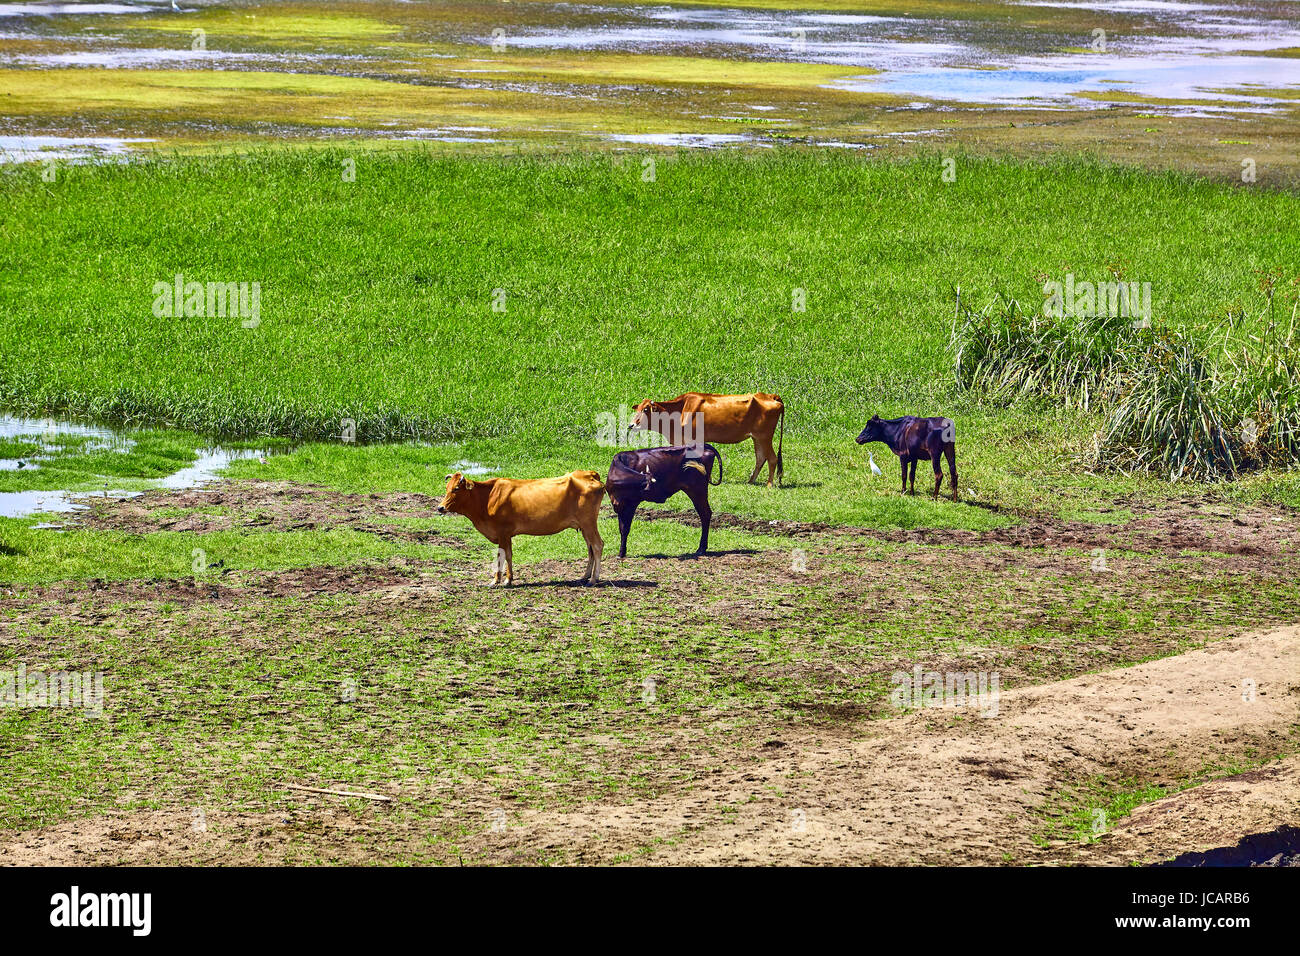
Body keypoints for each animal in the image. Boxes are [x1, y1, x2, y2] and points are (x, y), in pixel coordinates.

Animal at [436, 471, 606, 585]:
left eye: (456, 489)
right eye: (447, 488)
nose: (440, 507)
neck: (487, 498)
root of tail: (590, 474)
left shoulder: (502, 532)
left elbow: (502, 556)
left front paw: (499, 580)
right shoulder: (505, 534)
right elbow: (508, 555)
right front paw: (506, 579)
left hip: (588, 523)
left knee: (597, 545)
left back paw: (593, 579)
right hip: (584, 526)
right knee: (590, 547)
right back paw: (585, 576)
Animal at [629, 392, 785, 487]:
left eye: (645, 410)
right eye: (638, 409)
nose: (631, 425)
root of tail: (769, 396)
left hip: (764, 437)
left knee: (772, 458)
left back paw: (769, 484)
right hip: (757, 438)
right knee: (760, 458)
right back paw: (751, 481)